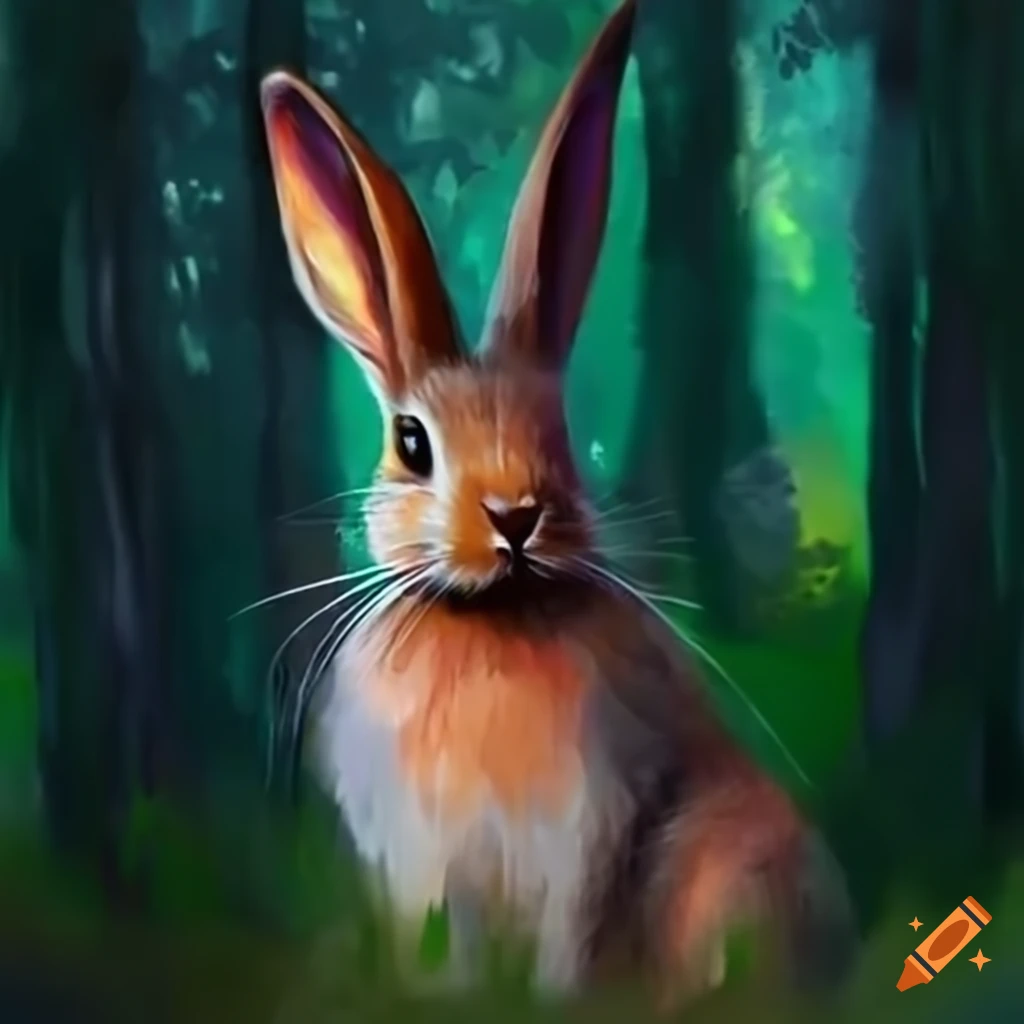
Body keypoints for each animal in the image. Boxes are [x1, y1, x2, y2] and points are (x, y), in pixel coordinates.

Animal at [259, 0, 854, 1004]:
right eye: (411, 443)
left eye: (559, 433)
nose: (514, 516)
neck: (488, 617)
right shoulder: (420, 866)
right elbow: (442, 948)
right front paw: (445, 998)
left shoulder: (589, 835)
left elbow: (567, 945)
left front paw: (553, 1001)